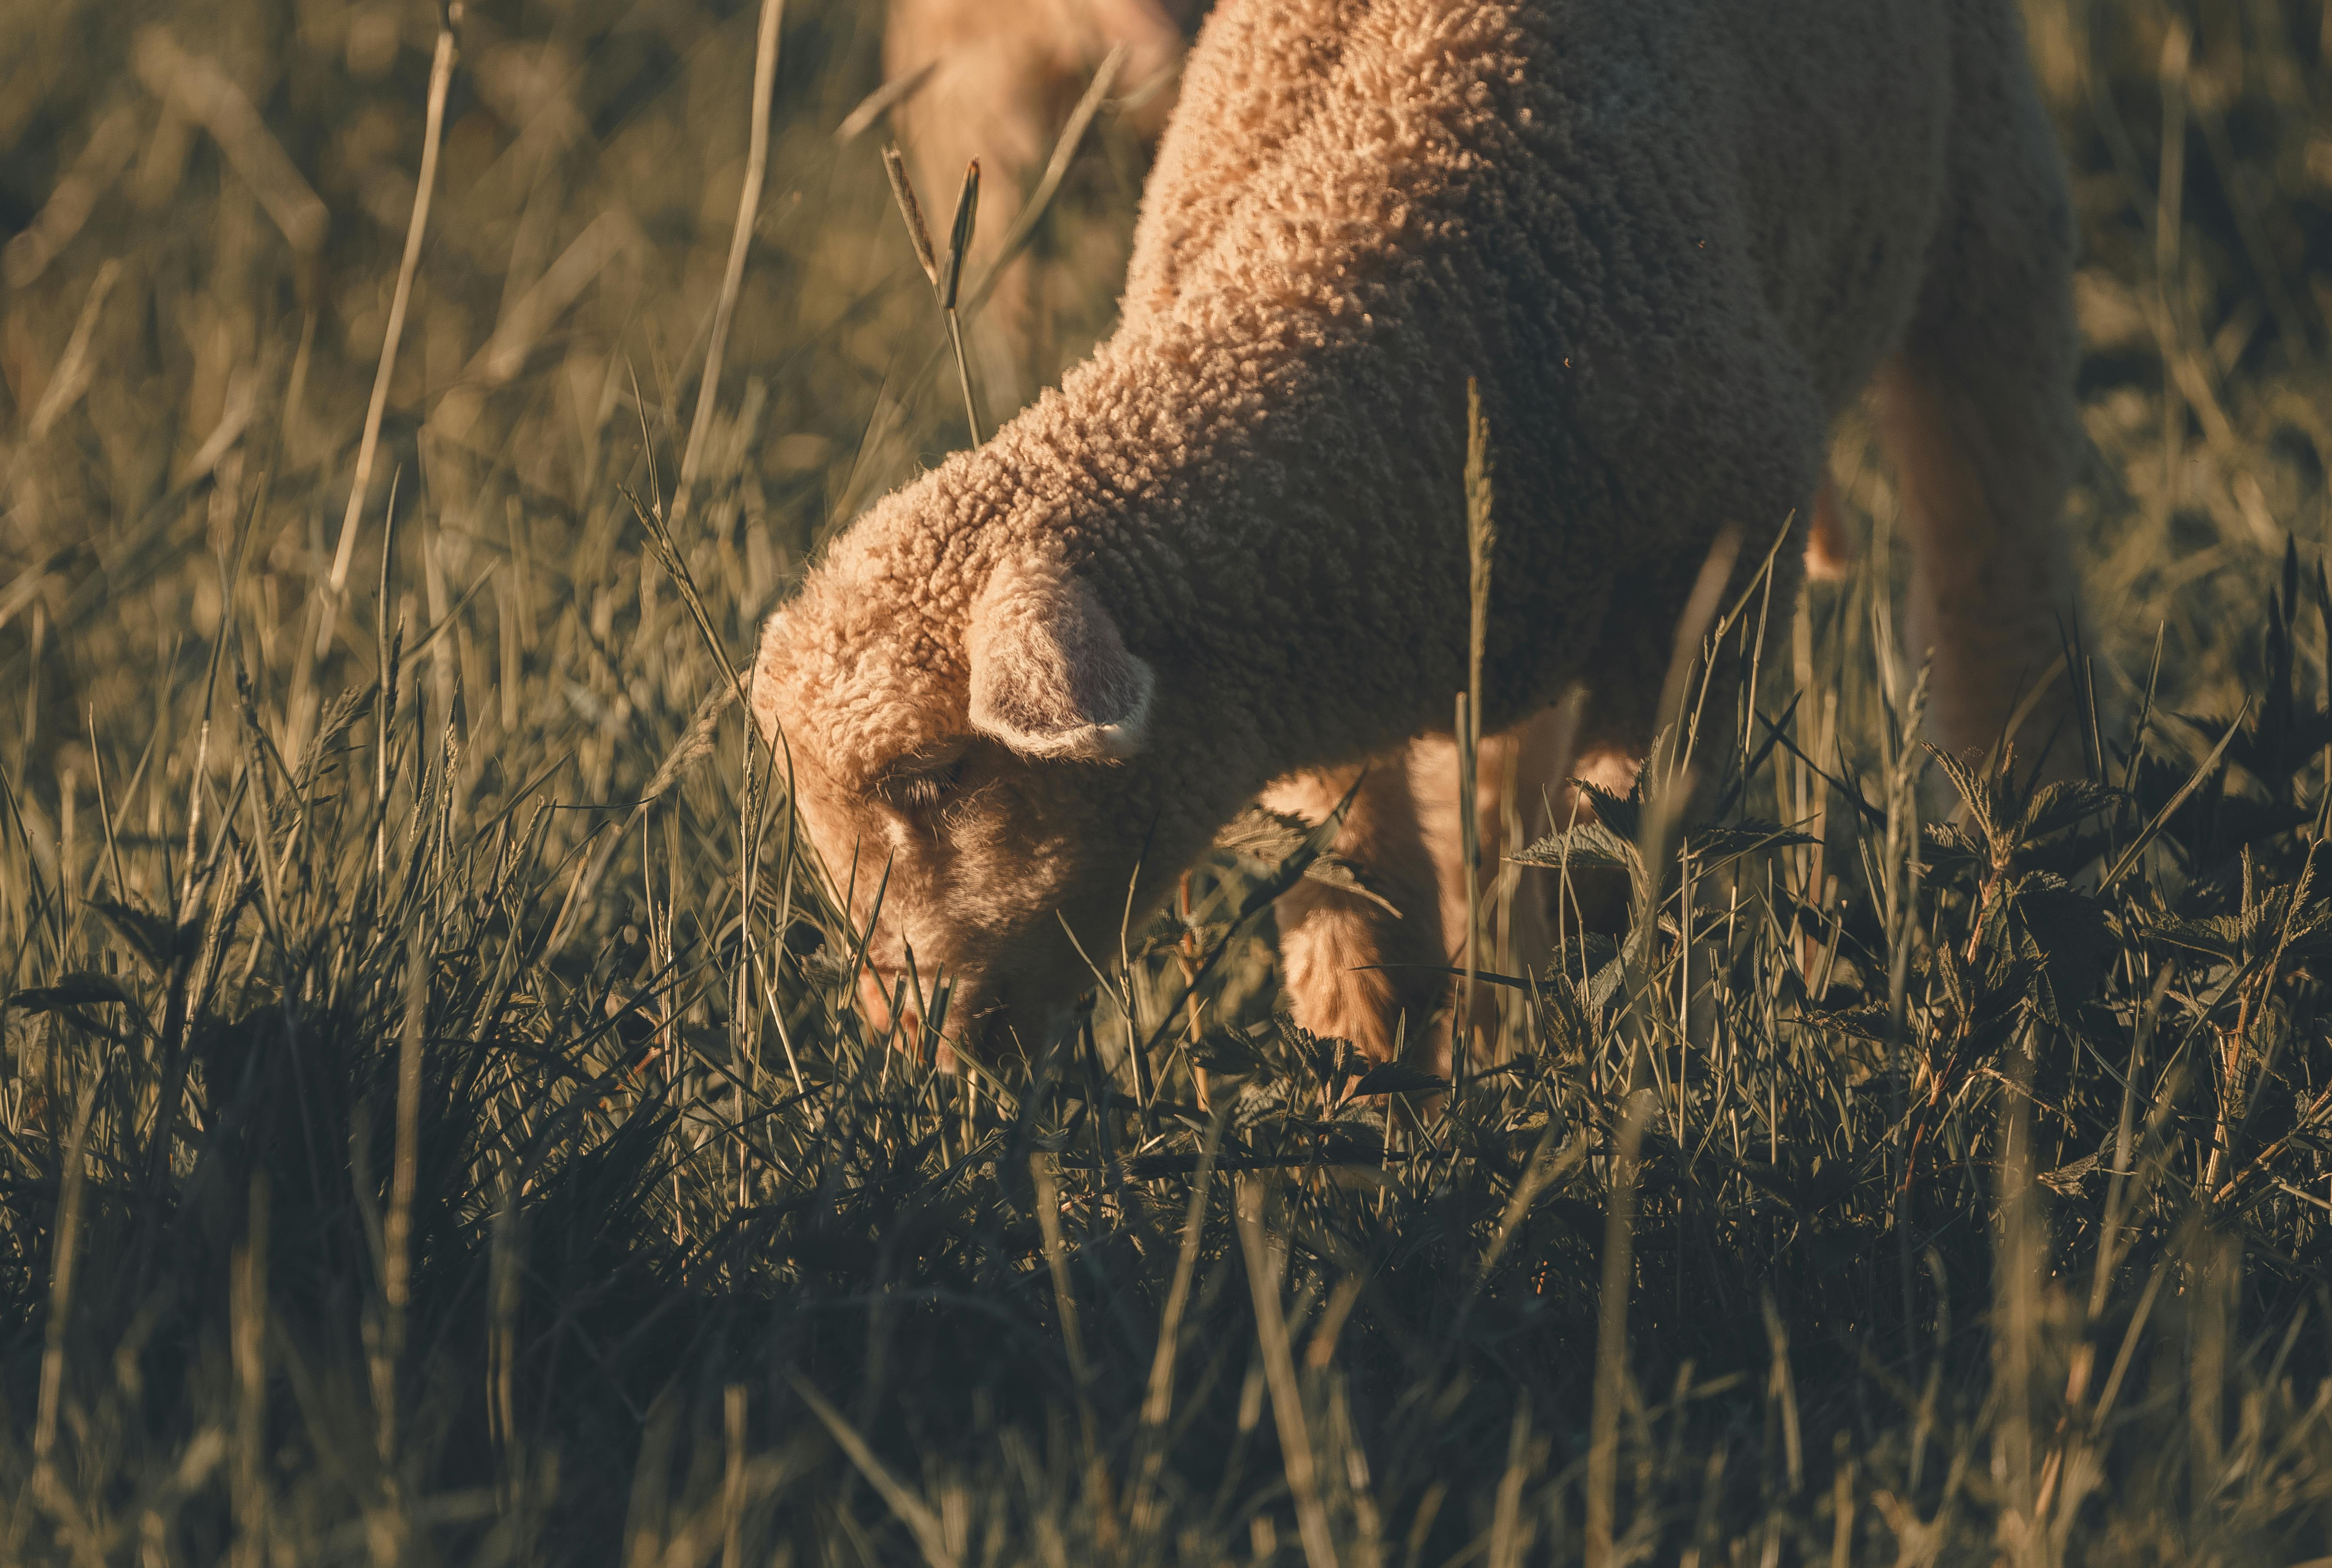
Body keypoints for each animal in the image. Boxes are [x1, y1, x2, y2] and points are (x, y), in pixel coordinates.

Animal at [753, 0, 2084, 1065]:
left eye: (932, 777)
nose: (901, 1032)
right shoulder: (1309, 656)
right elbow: (1366, 914)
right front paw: (1383, 1082)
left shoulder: (1724, 534)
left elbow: (1615, 848)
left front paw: (1583, 1023)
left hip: (1985, 184)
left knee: (1993, 538)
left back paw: (2028, 849)